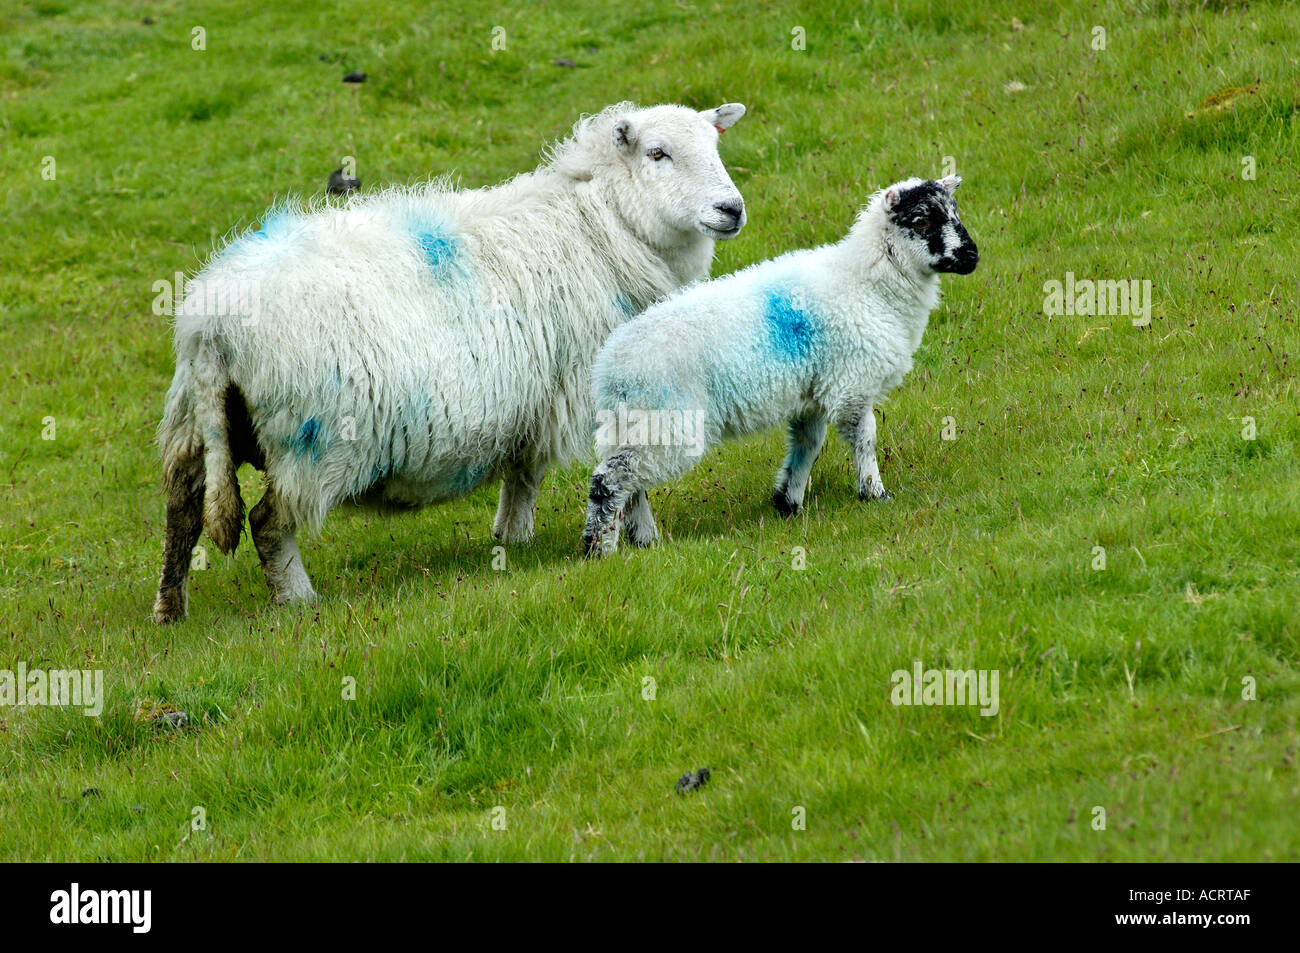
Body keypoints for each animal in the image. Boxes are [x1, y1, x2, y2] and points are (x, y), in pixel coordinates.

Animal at [153, 100, 748, 623]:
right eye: (657, 153)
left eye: (715, 144)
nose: (732, 209)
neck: (601, 227)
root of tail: (212, 330)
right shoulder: (597, 383)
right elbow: (626, 471)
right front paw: (644, 539)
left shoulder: (534, 396)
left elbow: (524, 472)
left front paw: (513, 538)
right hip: (314, 443)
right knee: (268, 523)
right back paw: (298, 600)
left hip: (190, 425)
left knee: (181, 514)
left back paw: (170, 612)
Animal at [582, 175, 978, 555]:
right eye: (922, 220)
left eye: (955, 213)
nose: (972, 256)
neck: (869, 285)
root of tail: (609, 370)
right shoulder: (851, 385)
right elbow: (866, 440)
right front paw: (874, 494)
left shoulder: (814, 394)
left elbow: (808, 445)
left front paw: (788, 502)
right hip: (668, 421)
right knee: (611, 479)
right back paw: (600, 549)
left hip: (636, 424)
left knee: (633, 482)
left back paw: (645, 540)